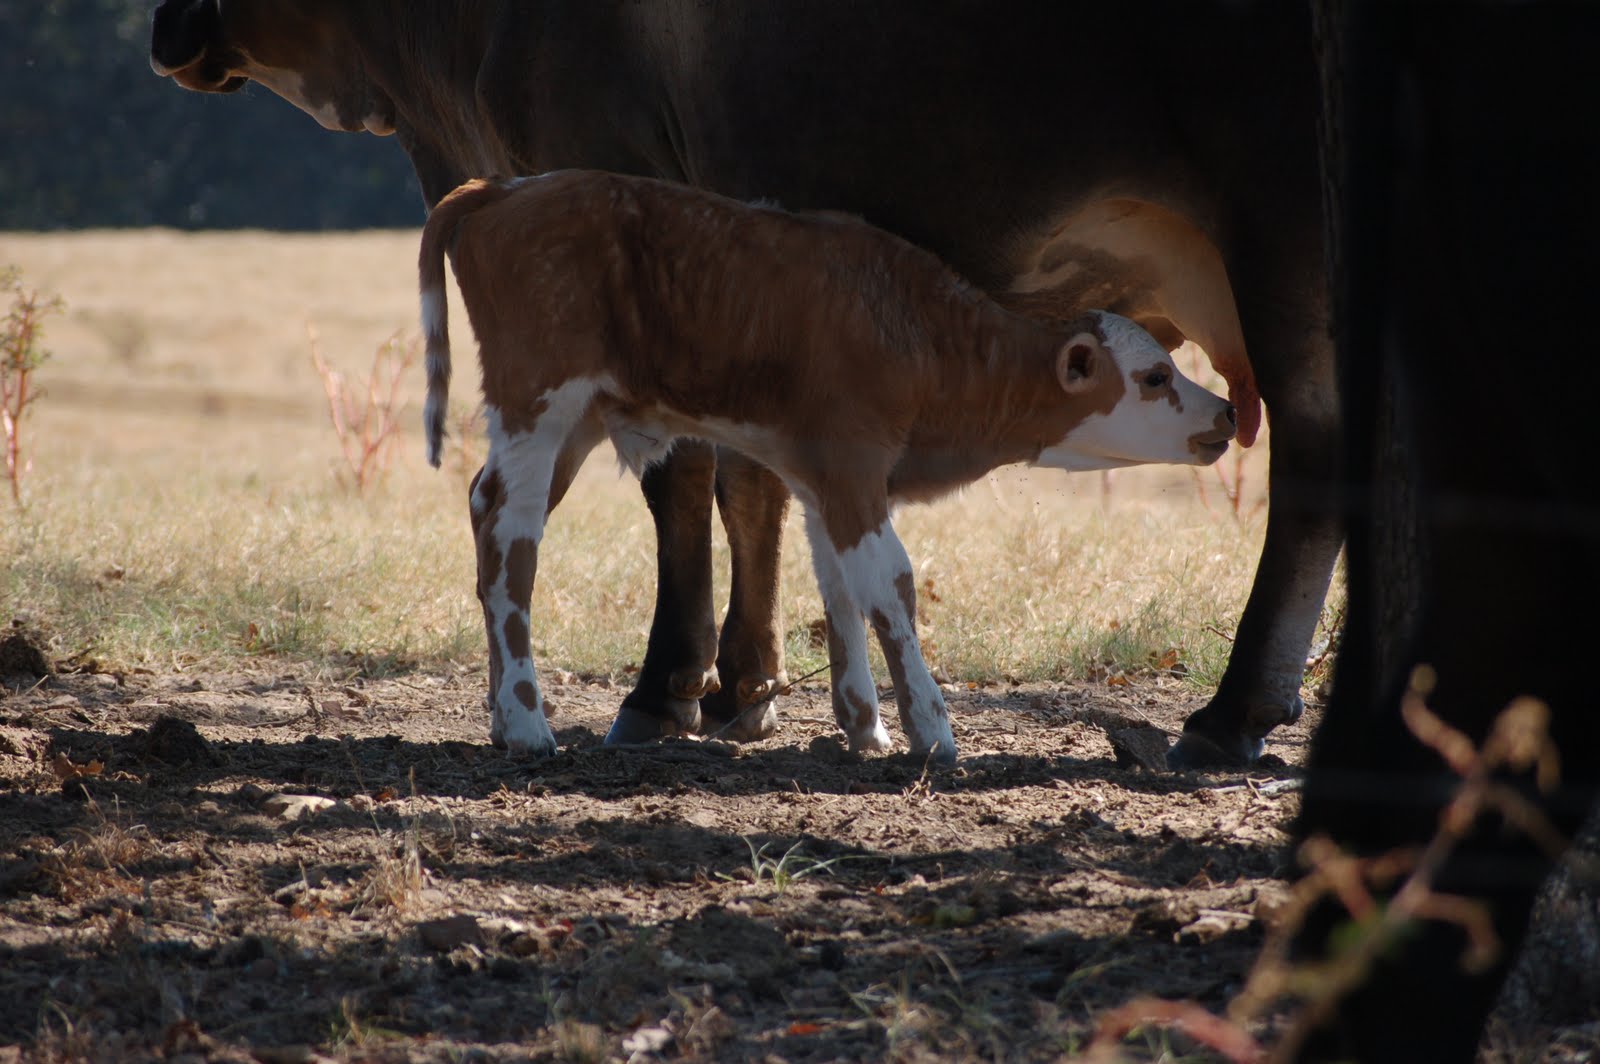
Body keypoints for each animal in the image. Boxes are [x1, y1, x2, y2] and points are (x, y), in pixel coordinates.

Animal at [417, 170, 1237, 761]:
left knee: (485, 510)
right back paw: (527, 723)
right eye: (1155, 377)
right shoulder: (852, 467)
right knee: (514, 538)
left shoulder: (821, 476)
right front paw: (931, 729)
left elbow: (841, 587)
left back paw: (501, 716)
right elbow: (892, 585)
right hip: (540, 405)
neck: (915, 332)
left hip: (573, 425)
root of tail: (505, 188)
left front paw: (863, 723)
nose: (1227, 413)